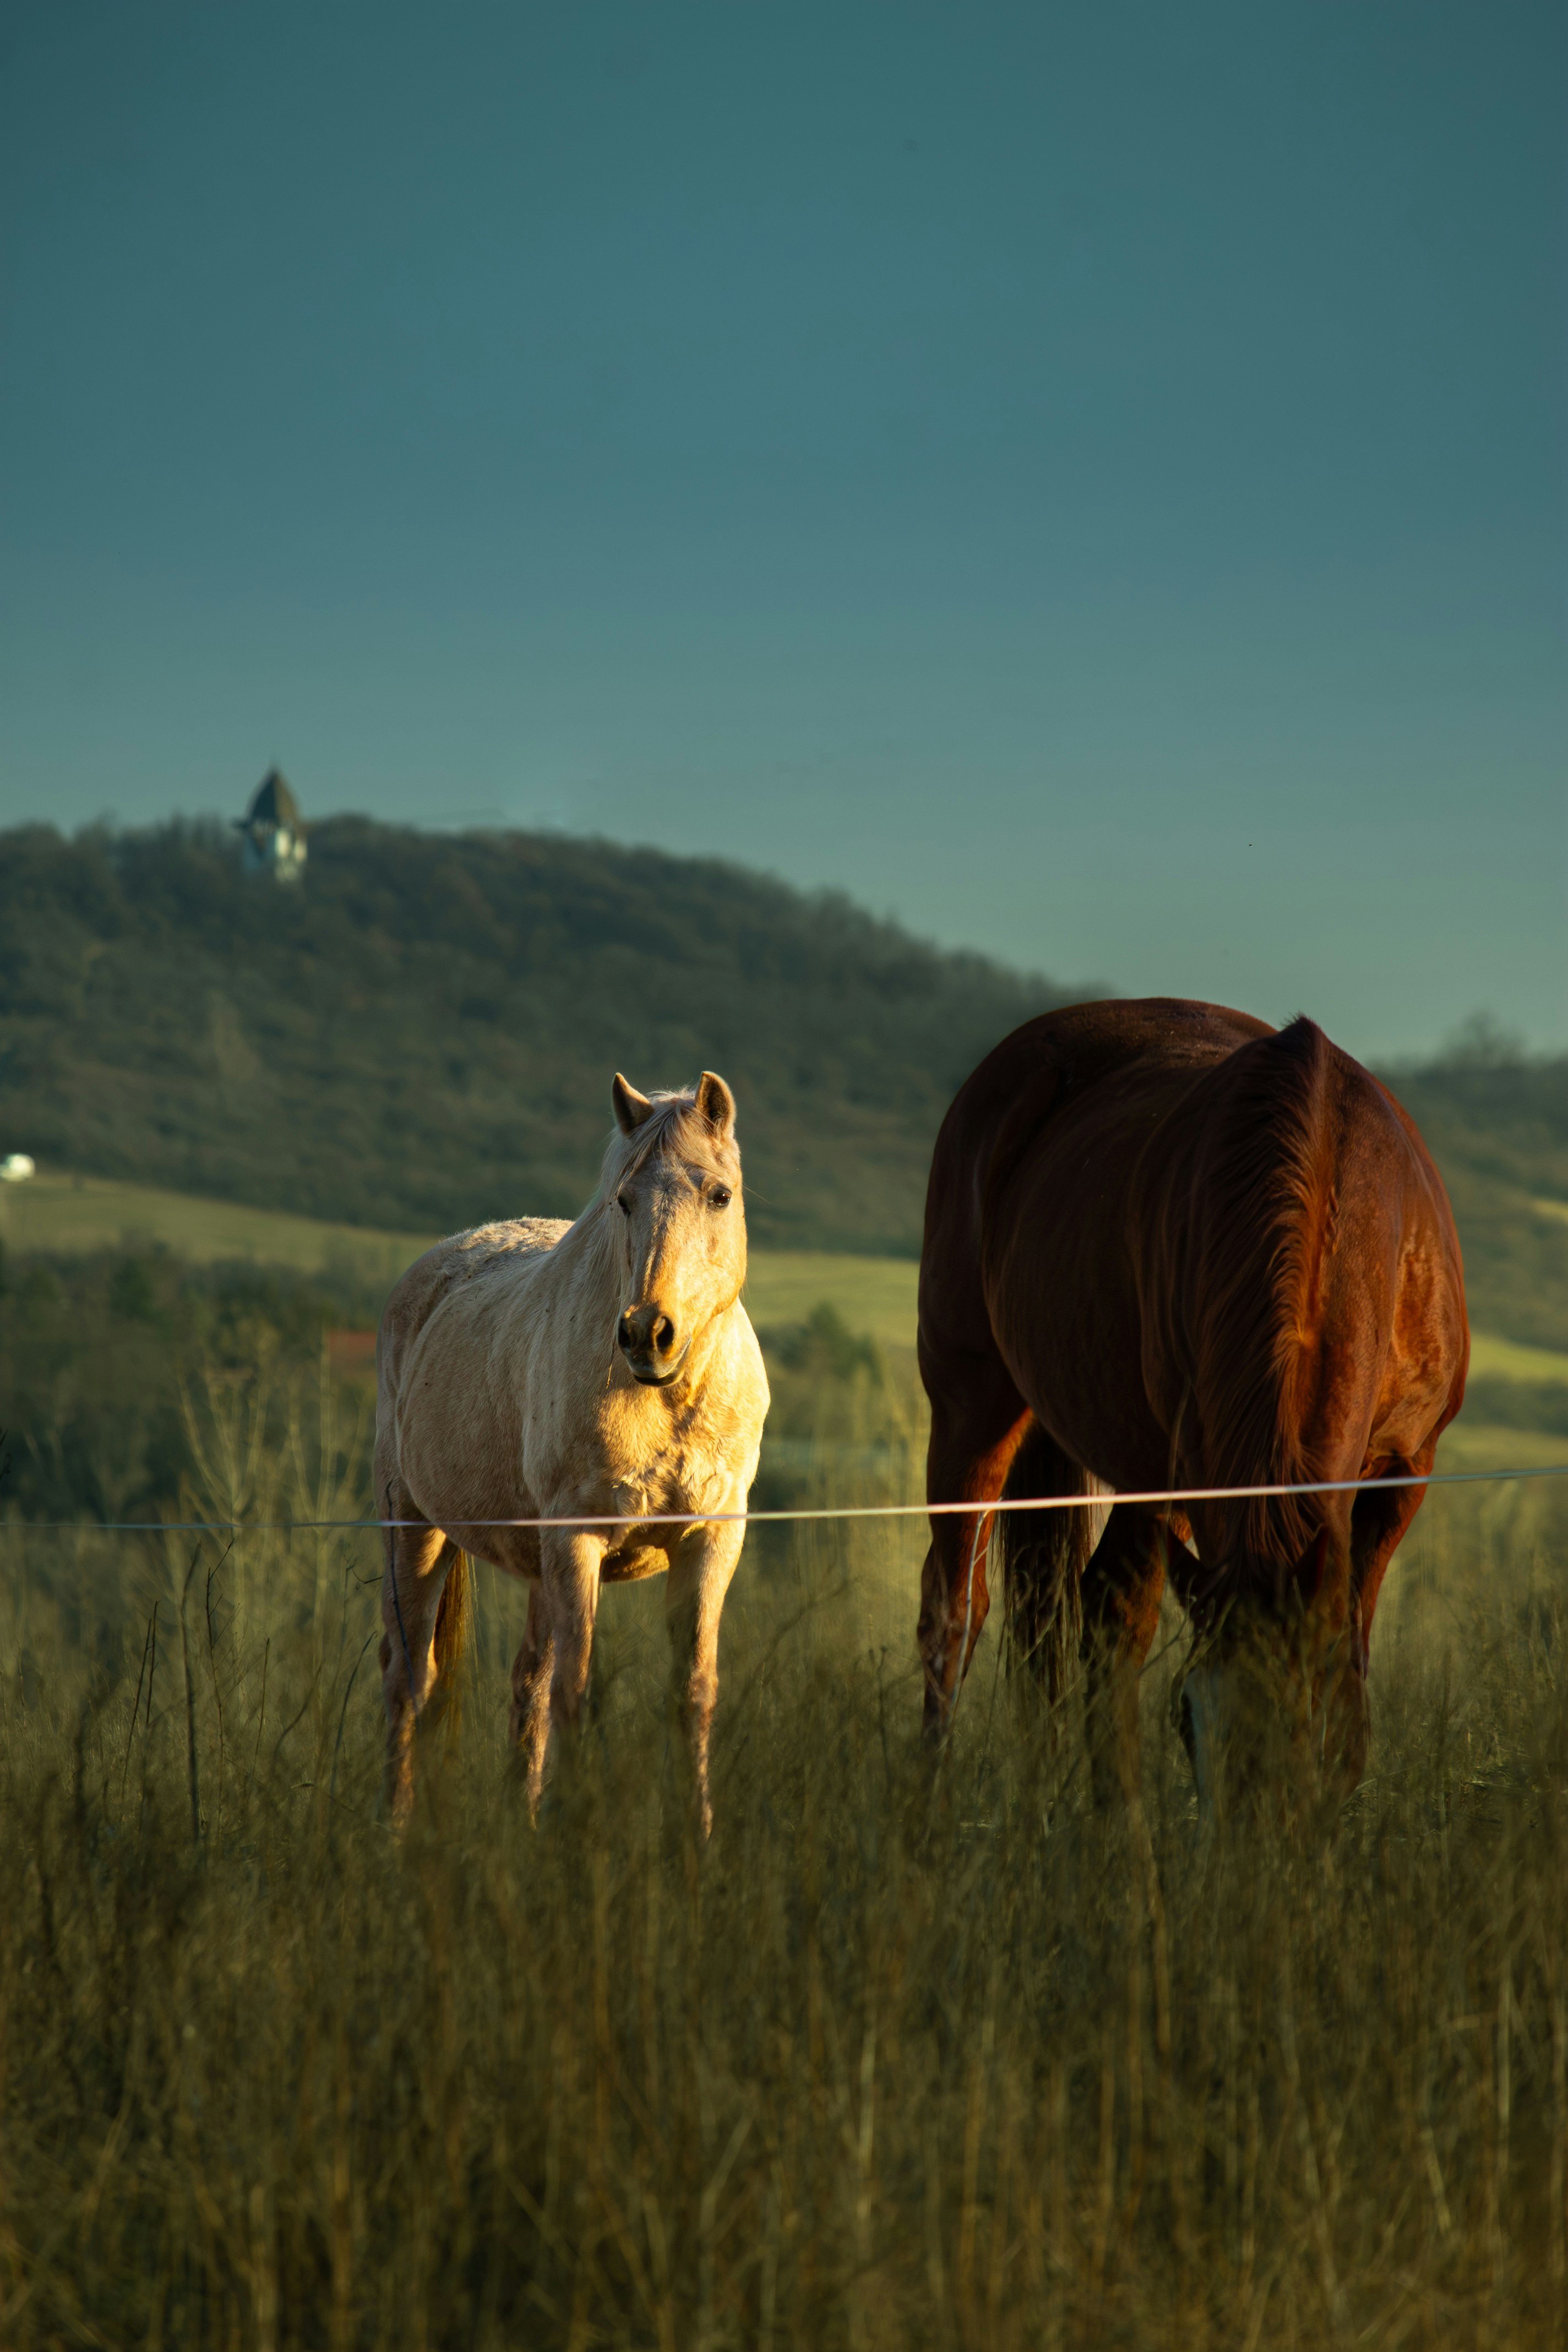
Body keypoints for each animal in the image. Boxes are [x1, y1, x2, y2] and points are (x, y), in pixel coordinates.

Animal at [375, 1070, 769, 1833]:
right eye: (623, 1199)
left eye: (719, 1194)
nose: (649, 1334)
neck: (669, 1399)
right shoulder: (576, 1539)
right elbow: (578, 1695)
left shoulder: (710, 1540)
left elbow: (690, 1695)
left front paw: (696, 1840)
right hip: (414, 1528)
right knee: (409, 1680)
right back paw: (395, 1833)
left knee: (526, 1682)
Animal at [915, 999, 1468, 1813]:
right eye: (1188, 1718)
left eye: (1306, 1733)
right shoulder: (1188, 1469)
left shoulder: (1404, 1473)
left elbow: (1353, 1663)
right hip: (977, 1408)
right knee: (960, 1615)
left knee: (1059, 1620)